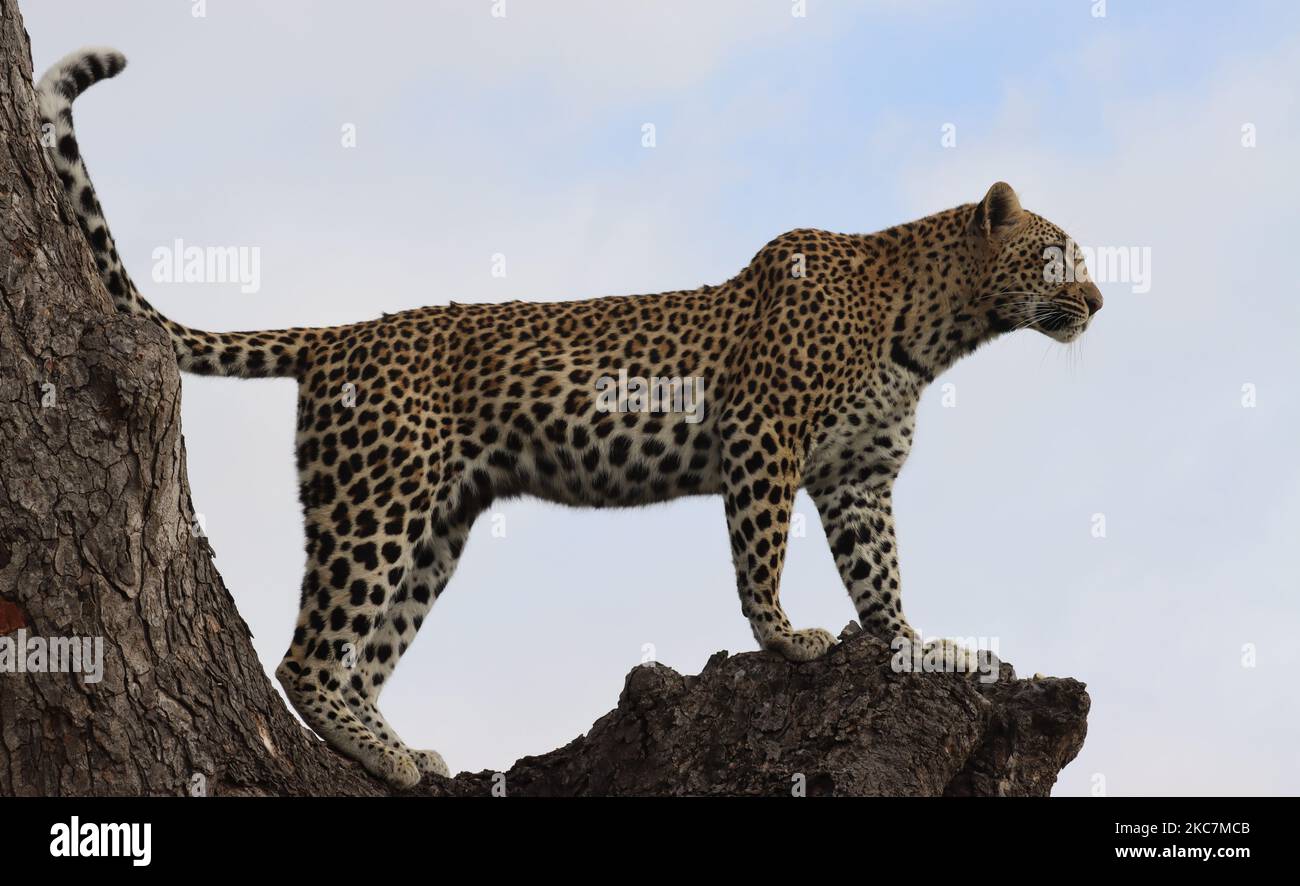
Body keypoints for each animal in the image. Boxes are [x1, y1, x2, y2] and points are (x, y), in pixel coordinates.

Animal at [38, 47, 1103, 788]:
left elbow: (880, 579)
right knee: (308, 655)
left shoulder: (858, 479)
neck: (934, 327)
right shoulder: (765, 437)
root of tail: (341, 333)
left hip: (437, 522)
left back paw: (398, 753)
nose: (1097, 300)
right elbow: (761, 554)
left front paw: (921, 644)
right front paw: (785, 639)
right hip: (378, 498)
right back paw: (378, 751)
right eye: (1059, 257)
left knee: (360, 655)